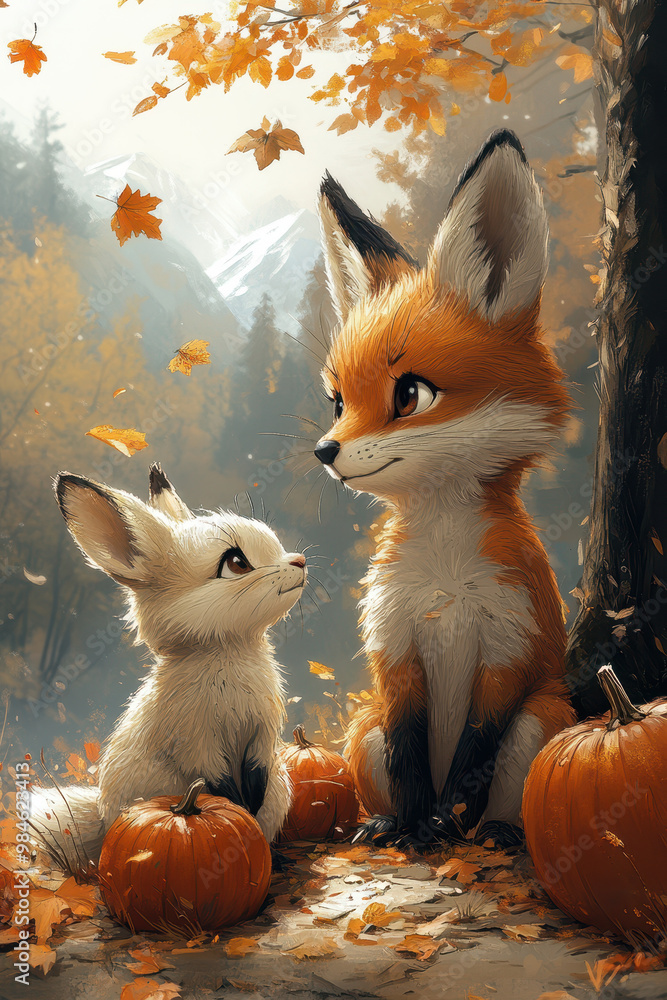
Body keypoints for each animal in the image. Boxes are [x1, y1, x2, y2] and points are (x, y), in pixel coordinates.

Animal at [31, 464, 306, 869]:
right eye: (236, 564)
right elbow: (219, 782)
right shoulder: (195, 741)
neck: (226, 653)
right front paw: (238, 806)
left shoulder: (263, 729)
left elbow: (257, 769)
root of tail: (102, 821)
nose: (299, 562)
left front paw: (250, 804)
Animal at [313, 129, 577, 847]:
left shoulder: (509, 645)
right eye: (337, 401)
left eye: (410, 395)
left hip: (544, 718)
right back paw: (383, 822)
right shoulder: (394, 643)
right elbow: (407, 750)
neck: (443, 580)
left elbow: (472, 758)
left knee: (508, 788)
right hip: (362, 725)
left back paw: (494, 833)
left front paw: (443, 820)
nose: (325, 452)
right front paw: (411, 824)